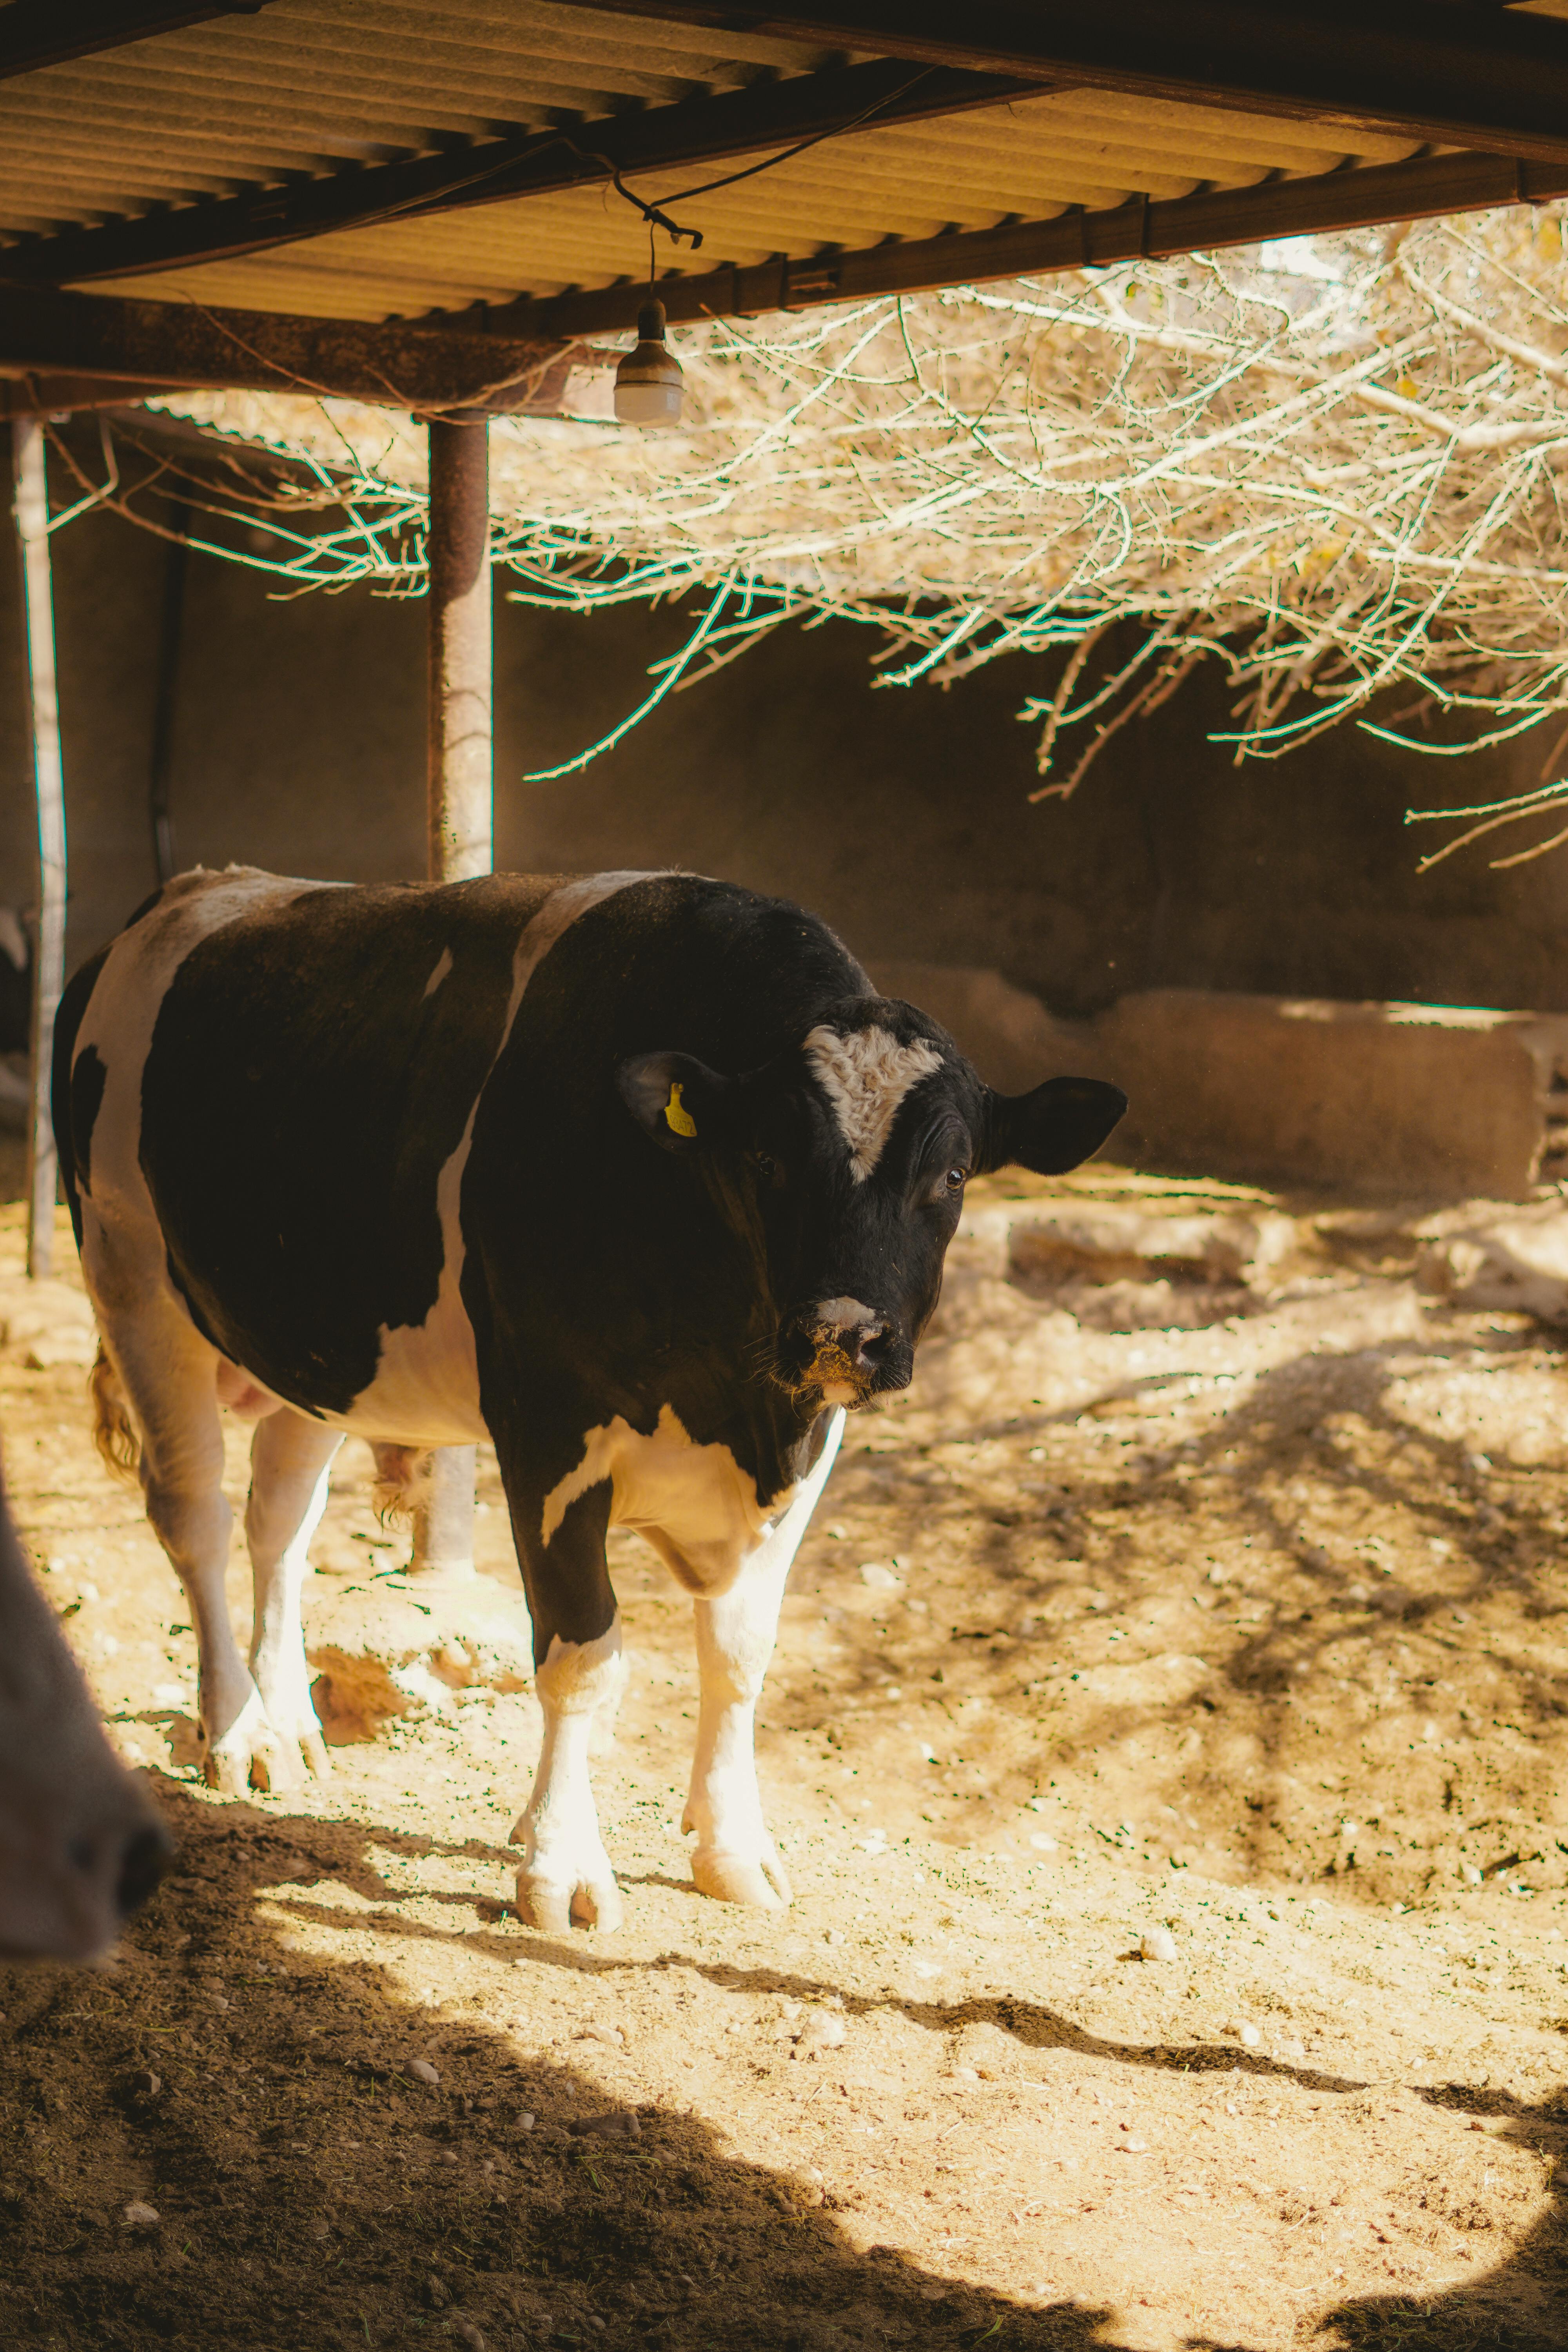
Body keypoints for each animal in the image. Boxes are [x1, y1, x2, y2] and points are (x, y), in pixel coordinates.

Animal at [54, 866, 1124, 1933]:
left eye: (952, 1174)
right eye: (766, 1160)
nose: (842, 1331)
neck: (731, 1396)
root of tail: (197, 887)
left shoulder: (807, 1434)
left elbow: (741, 1651)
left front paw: (732, 1848)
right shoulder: (549, 1424)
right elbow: (583, 1654)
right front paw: (564, 1864)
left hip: (313, 1348)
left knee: (279, 1518)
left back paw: (286, 1723)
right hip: (132, 1280)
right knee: (193, 1515)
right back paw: (236, 1731)